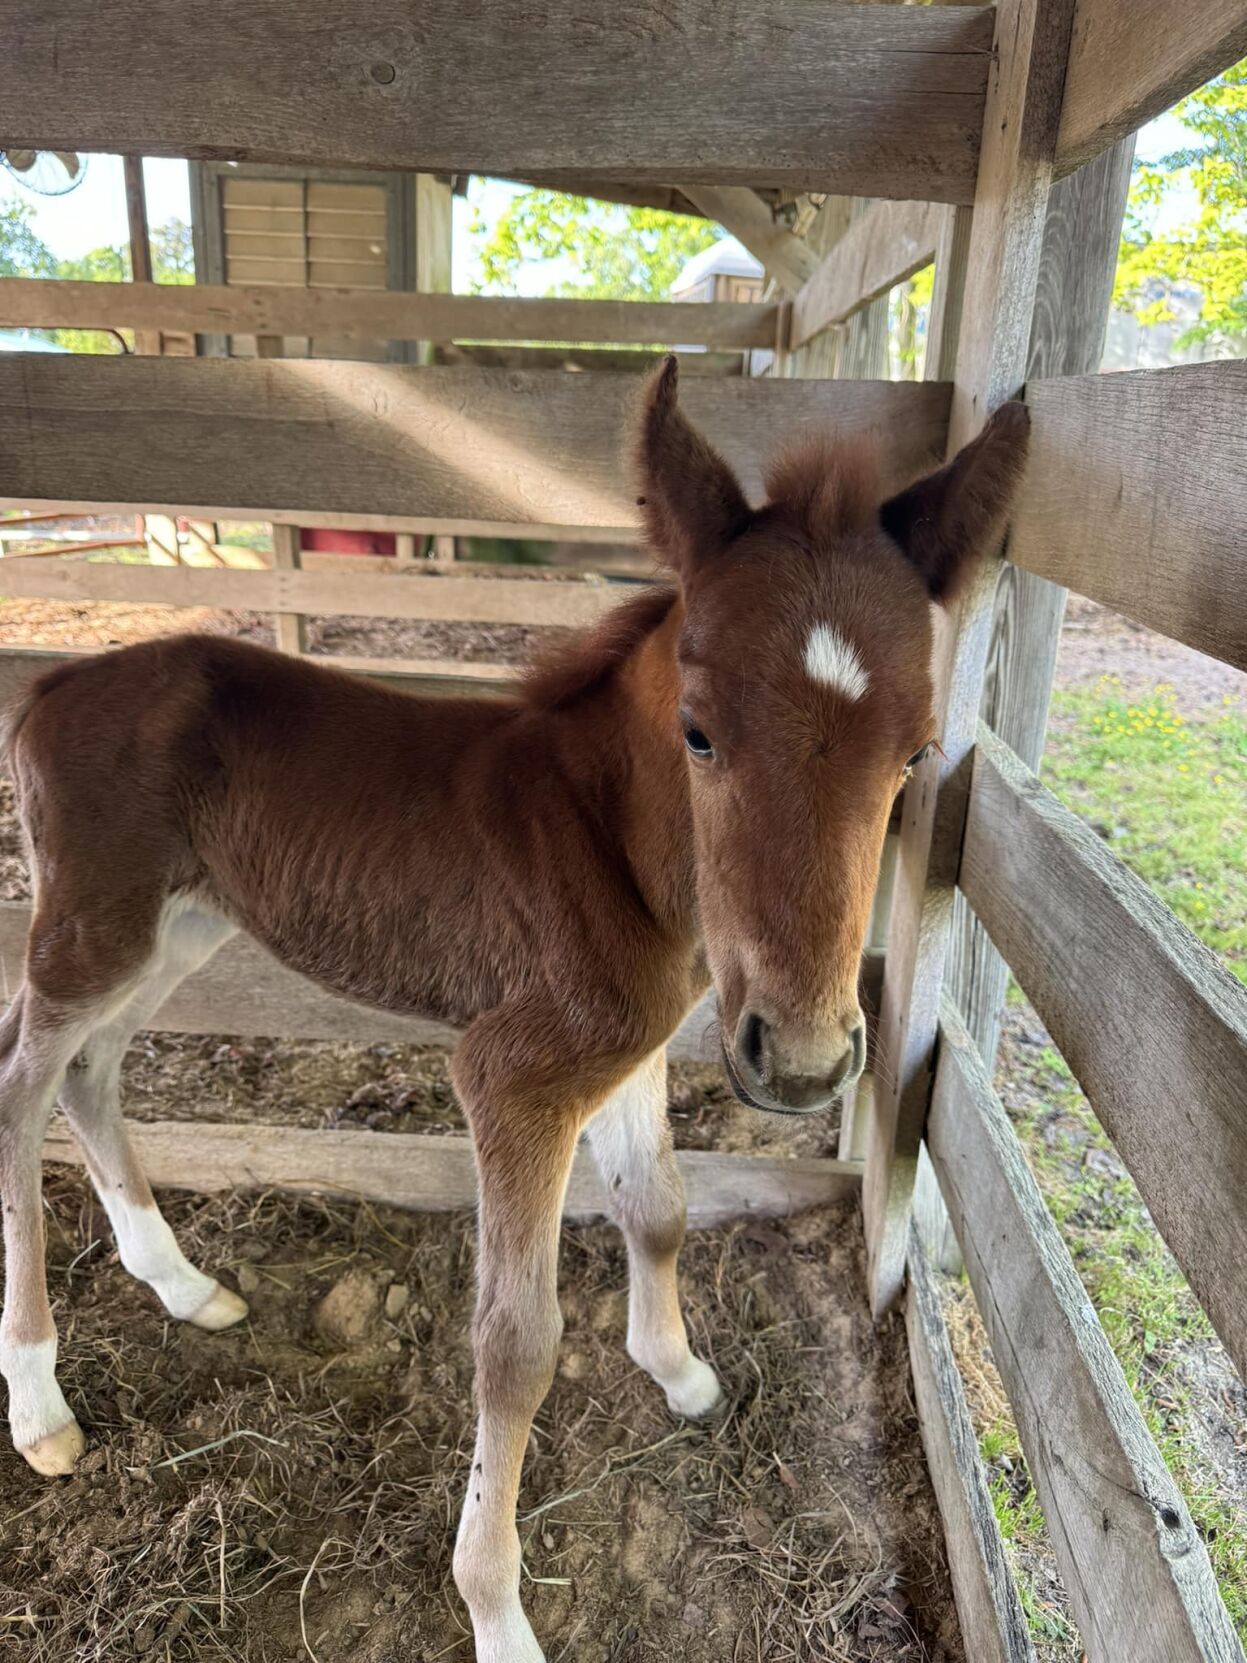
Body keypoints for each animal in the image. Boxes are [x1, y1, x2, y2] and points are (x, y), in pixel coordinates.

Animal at [0, 356, 1028, 1660]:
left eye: (913, 753)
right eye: (698, 731)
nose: (799, 1060)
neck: (610, 843)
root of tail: (54, 680)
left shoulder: (630, 1052)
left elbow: (660, 1210)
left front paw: (679, 1374)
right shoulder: (512, 1080)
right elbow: (514, 1347)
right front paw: (493, 1607)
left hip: (176, 927)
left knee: (94, 1070)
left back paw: (182, 1285)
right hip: (94, 924)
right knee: (21, 1085)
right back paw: (39, 1400)